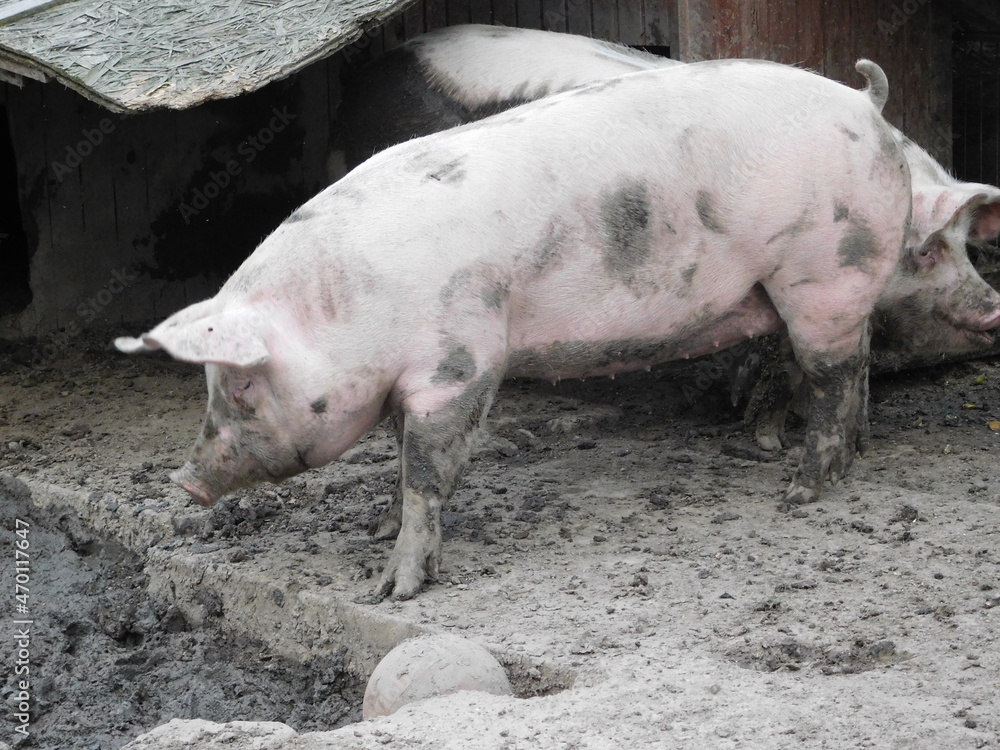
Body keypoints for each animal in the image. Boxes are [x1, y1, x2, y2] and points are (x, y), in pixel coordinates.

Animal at [116, 59, 911, 600]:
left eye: (244, 385)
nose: (184, 480)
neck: (348, 304)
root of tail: (866, 102)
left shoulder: (461, 359)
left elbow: (426, 467)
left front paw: (393, 588)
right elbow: (401, 459)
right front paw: (376, 532)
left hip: (823, 270)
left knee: (833, 376)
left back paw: (801, 490)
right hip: (816, 286)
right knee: (852, 362)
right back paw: (835, 456)